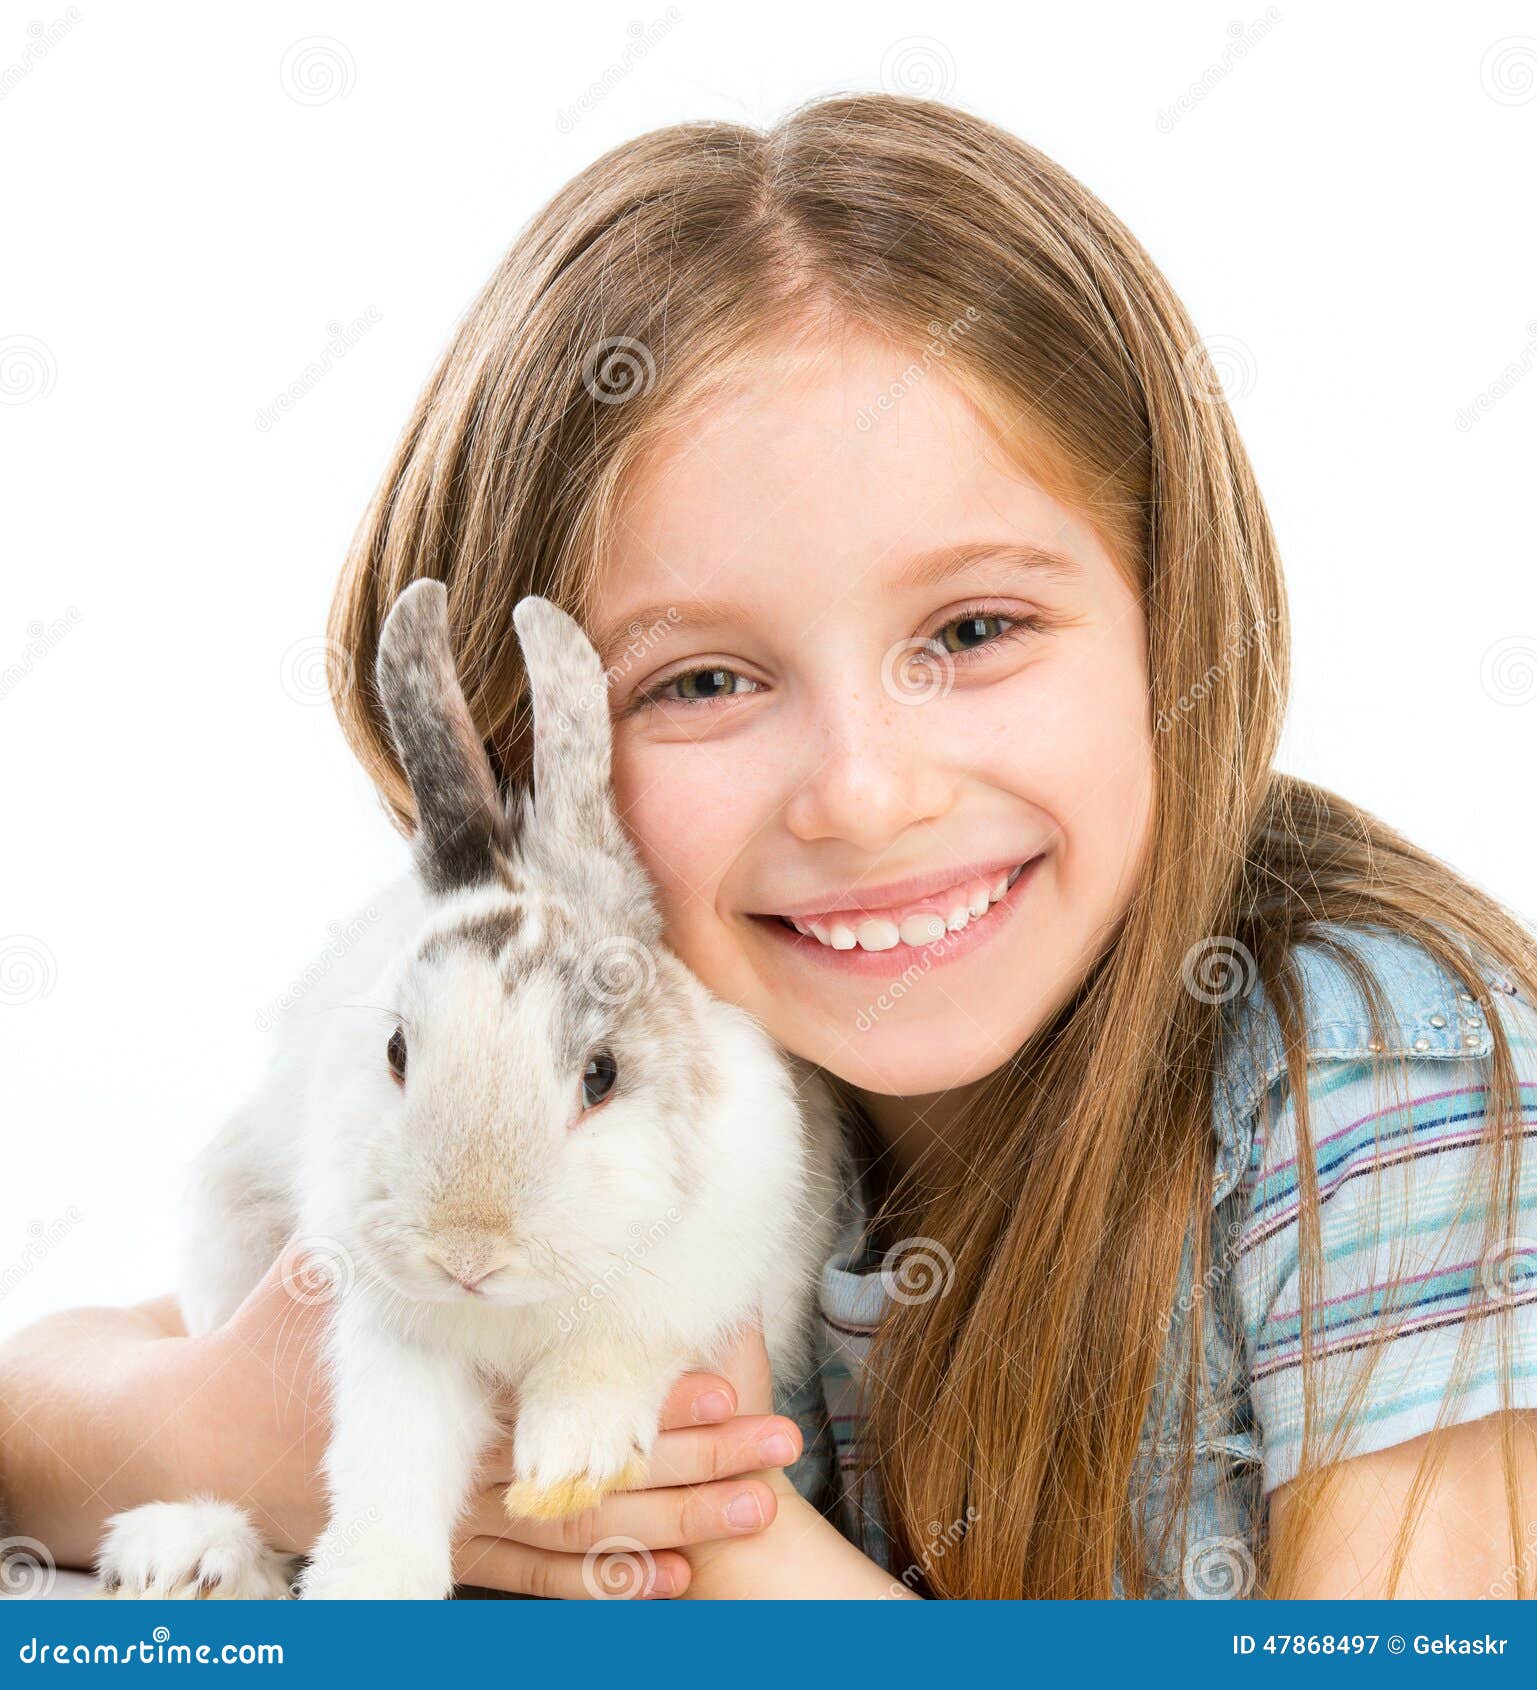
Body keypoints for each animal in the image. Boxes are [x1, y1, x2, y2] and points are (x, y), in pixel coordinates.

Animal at [93, 580, 851, 1600]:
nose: (465, 1253)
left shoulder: (700, 1282)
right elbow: (387, 1467)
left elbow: (611, 1357)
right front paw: (365, 1586)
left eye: (601, 1075)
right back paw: (183, 1551)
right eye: (397, 1050)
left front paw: (568, 1470)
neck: (511, 1309)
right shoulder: (395, 1342)